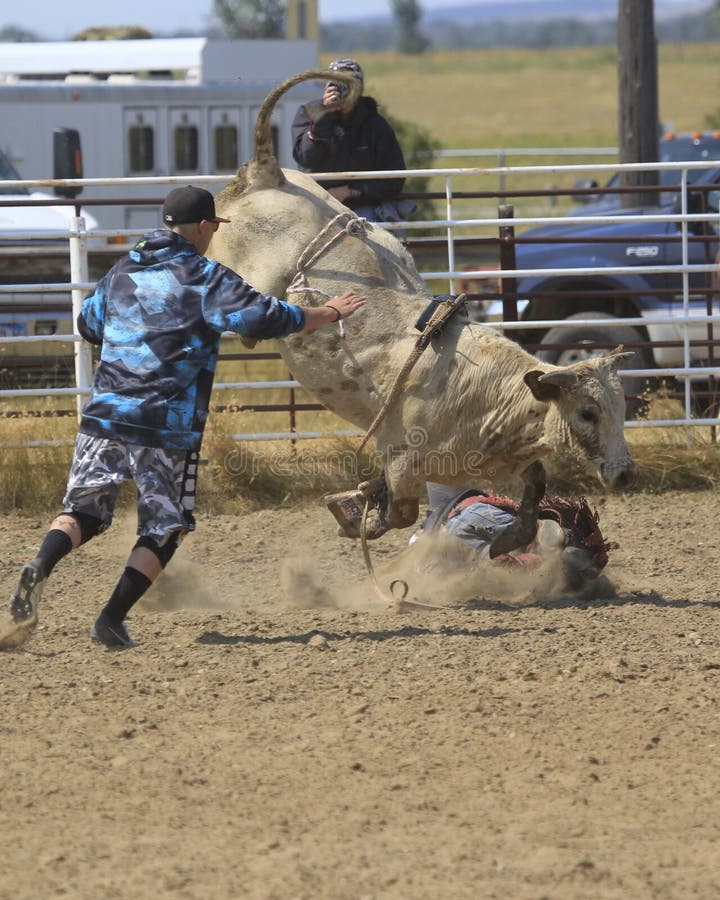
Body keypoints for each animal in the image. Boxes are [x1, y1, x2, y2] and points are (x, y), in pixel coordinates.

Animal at [208, 70, 637, 545]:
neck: (490, 393)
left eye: (622, 408)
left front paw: (510, 538)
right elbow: (401, 513)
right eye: (587, 412)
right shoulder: (400, 457)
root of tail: (269, 173)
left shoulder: (497, 464)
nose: (625, 475)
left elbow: (535, 487)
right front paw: (363, 513)